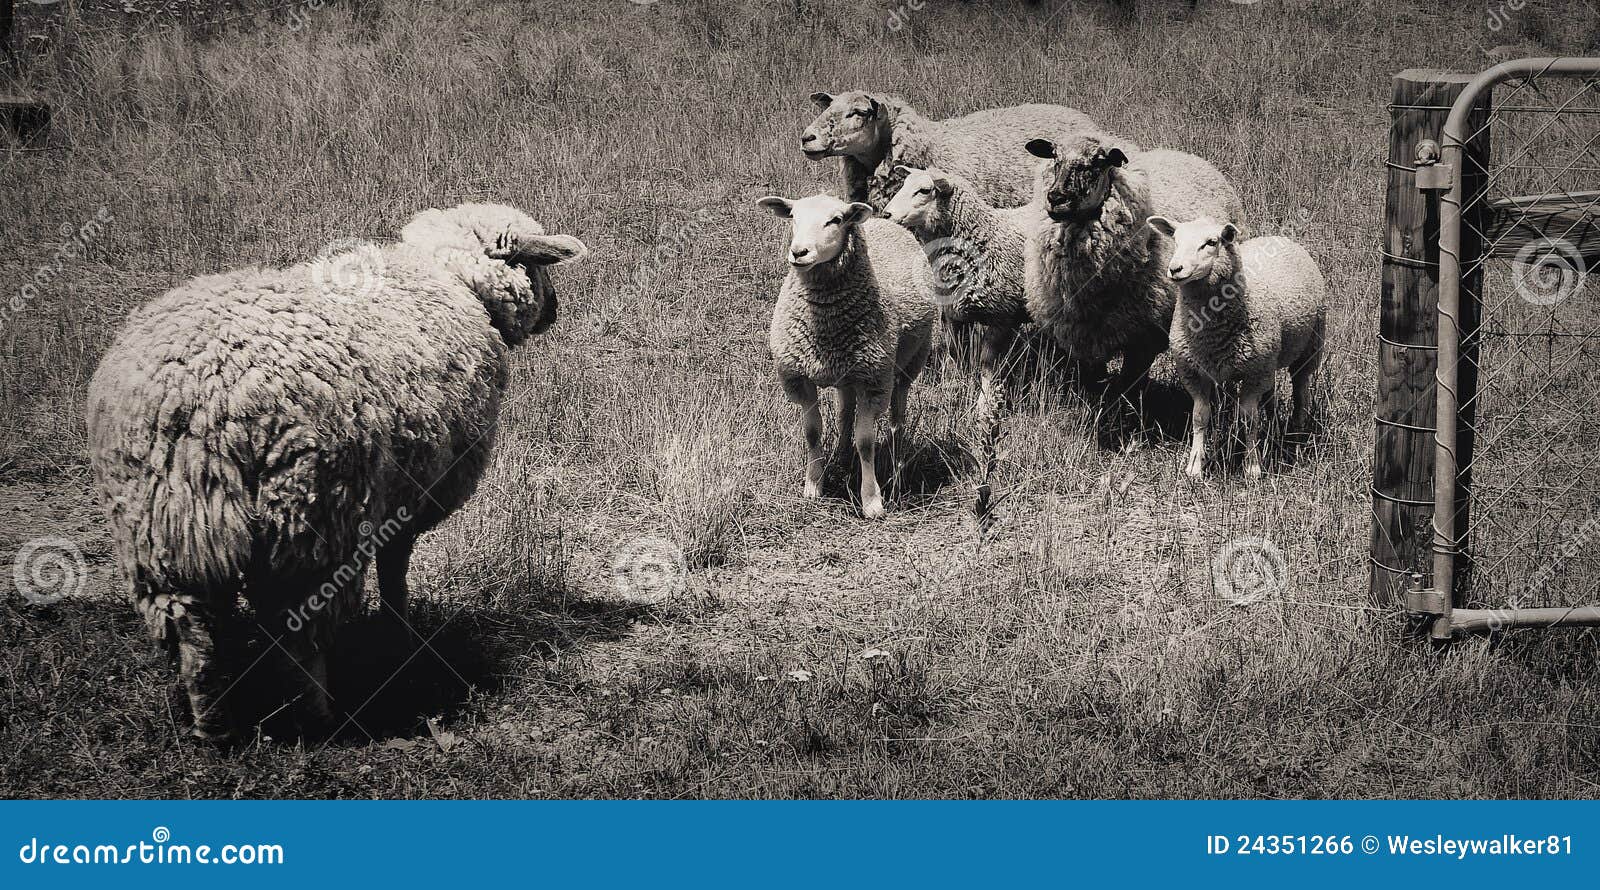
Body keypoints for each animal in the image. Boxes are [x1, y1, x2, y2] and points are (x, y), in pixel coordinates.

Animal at [86, 202, 586, 743]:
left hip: (164, 520)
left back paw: (211, 726)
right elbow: (395, 567)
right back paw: (319, 719)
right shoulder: (407, 492)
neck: (448, 279)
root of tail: (203, 398)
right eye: (538, 265)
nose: (555, 311)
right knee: (298, 627)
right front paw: (400, 633)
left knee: (193, 629)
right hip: (313, 512)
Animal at [757, 192, 937, 520]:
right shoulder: (800, 379)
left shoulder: (874, 380)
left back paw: (896, 460)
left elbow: (866, 442)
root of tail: (882, 220)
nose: (798, 253)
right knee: (845, 413)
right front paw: (813, 486)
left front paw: (872, 500)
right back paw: (842, 455)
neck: (825, 321)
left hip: (909, 361)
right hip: (848, 373)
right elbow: (813, 433)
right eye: (793, 217)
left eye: (836, 220)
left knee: (898, 414)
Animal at [884, 164, 1044, 418]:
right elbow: (955, 358)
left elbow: (988, 367)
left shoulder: (1003, 318)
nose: (886, 214)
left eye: (924, 190)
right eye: (903, 184)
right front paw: (952, 392)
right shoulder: (953, 316)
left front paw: (984, 407)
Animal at [1022, 132, 1246, 402]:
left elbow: (1130, 384)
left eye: (1099, 161)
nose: (1056, 198)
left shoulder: (1144, 338)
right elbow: (1093, 381)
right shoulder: (1080, 337)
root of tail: (1184, 154)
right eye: (1055, 157)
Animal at [1145, 215, 1326, 480]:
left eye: (1211, 242)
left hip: (1309, 348)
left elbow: (1249, 419)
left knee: (1301, 390)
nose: (1175, 269)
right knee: (1270, 392)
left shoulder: (1253, 373)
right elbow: (1200, 416)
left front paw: (1252, 467)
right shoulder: (1194, 371)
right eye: (1176, 239)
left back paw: (1297, 433)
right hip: (1268, 359)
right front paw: (1195, 466)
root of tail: (1279, 237)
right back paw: (1273, 426)